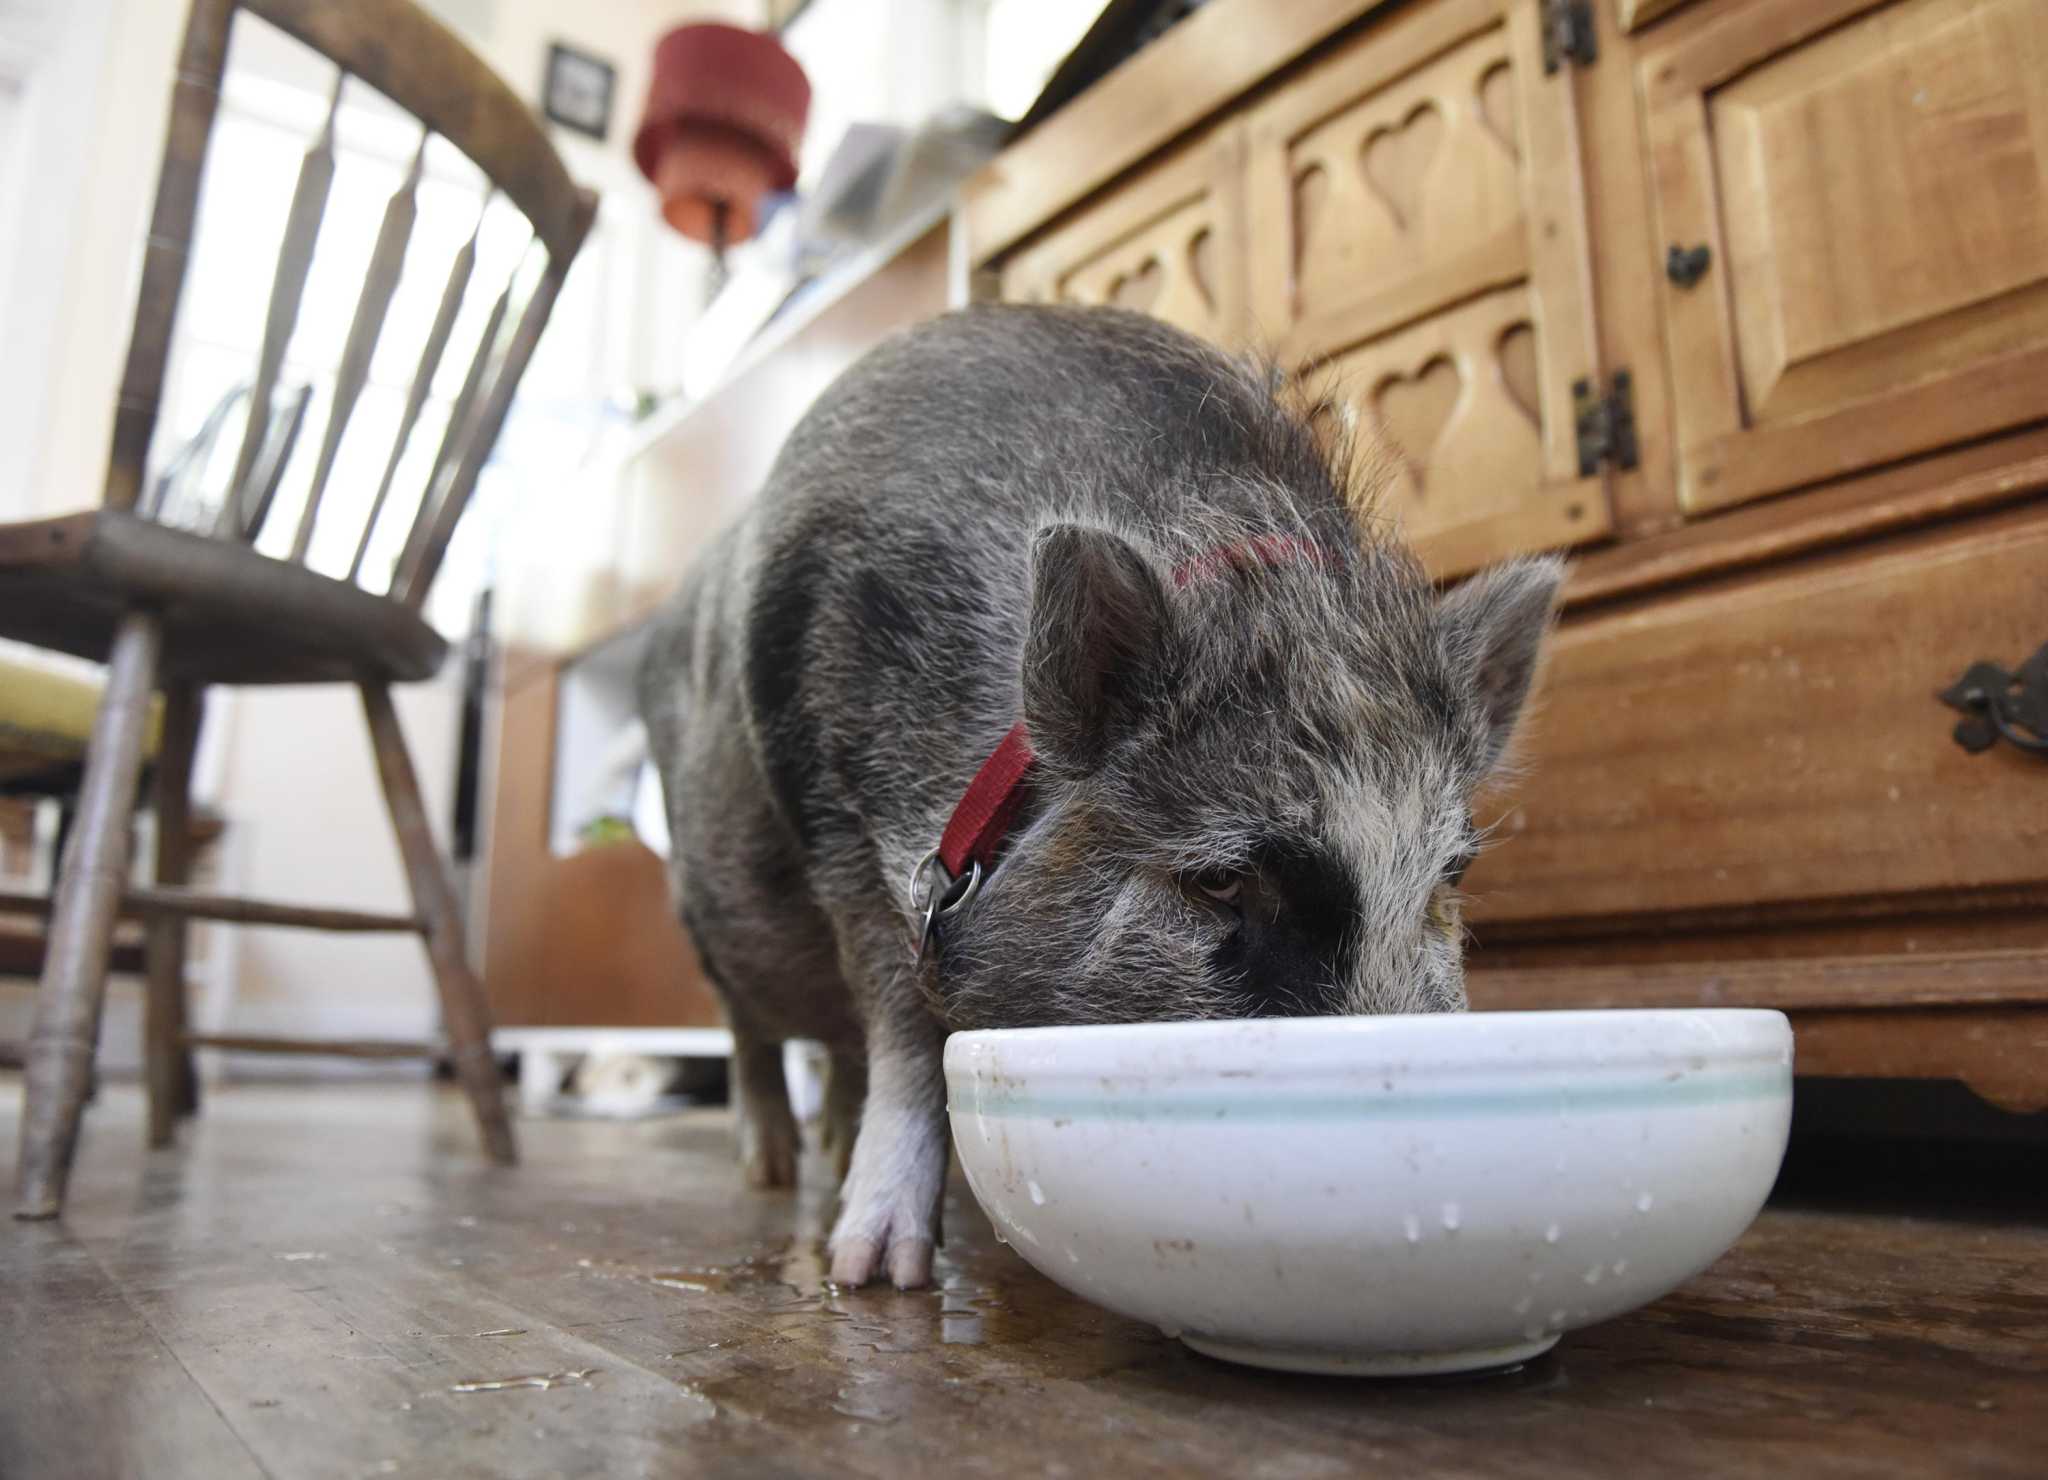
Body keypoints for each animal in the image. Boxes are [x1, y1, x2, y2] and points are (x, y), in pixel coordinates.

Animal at [637, 304, 1562, 1290]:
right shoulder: (840, 813)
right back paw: (771, 1169)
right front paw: (876, 1273)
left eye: (1448, 877)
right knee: (751, 1029)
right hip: (706, 911)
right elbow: (902, 1025)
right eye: (1218, 881)